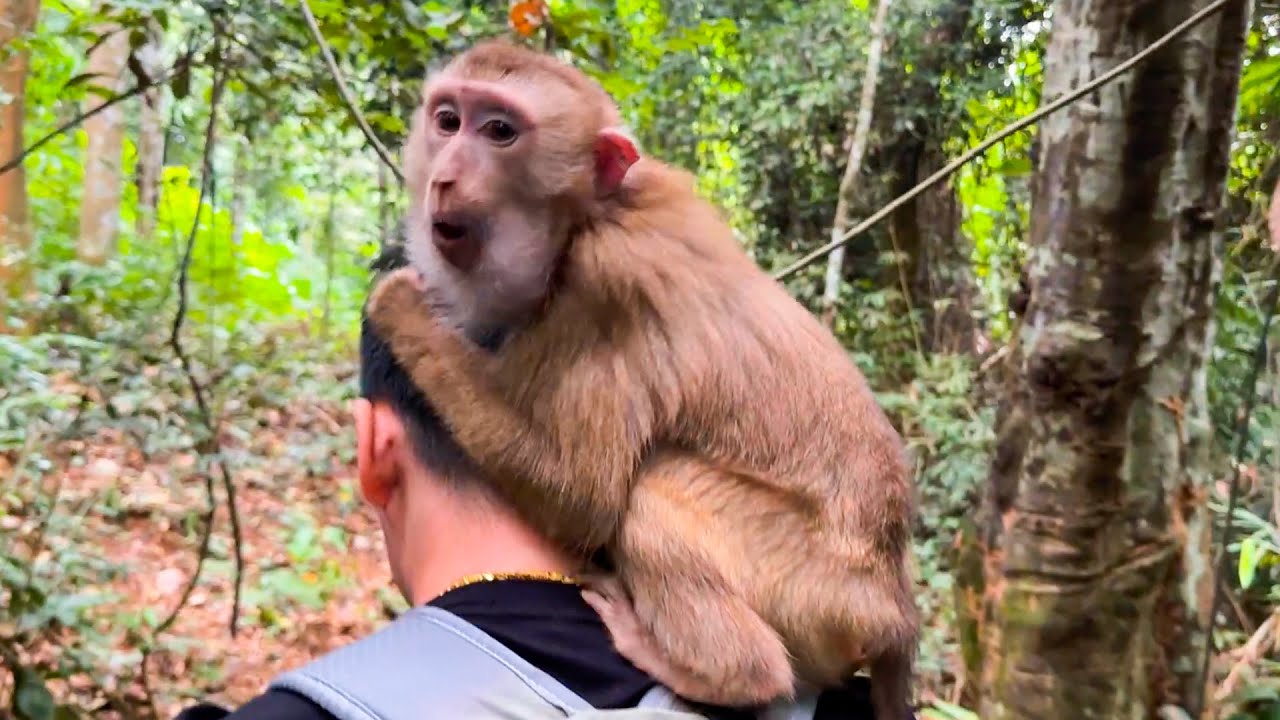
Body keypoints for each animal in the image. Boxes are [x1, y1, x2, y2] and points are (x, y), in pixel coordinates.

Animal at [365, 39, 919, 719]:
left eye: (499, 131)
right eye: (448, 120)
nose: (444, 177)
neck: (592, 216)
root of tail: (893, 609)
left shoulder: (605, 287)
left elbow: (583, 494)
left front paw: (397, 303)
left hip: (815, 591)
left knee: (654, 490)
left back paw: (729, 674)